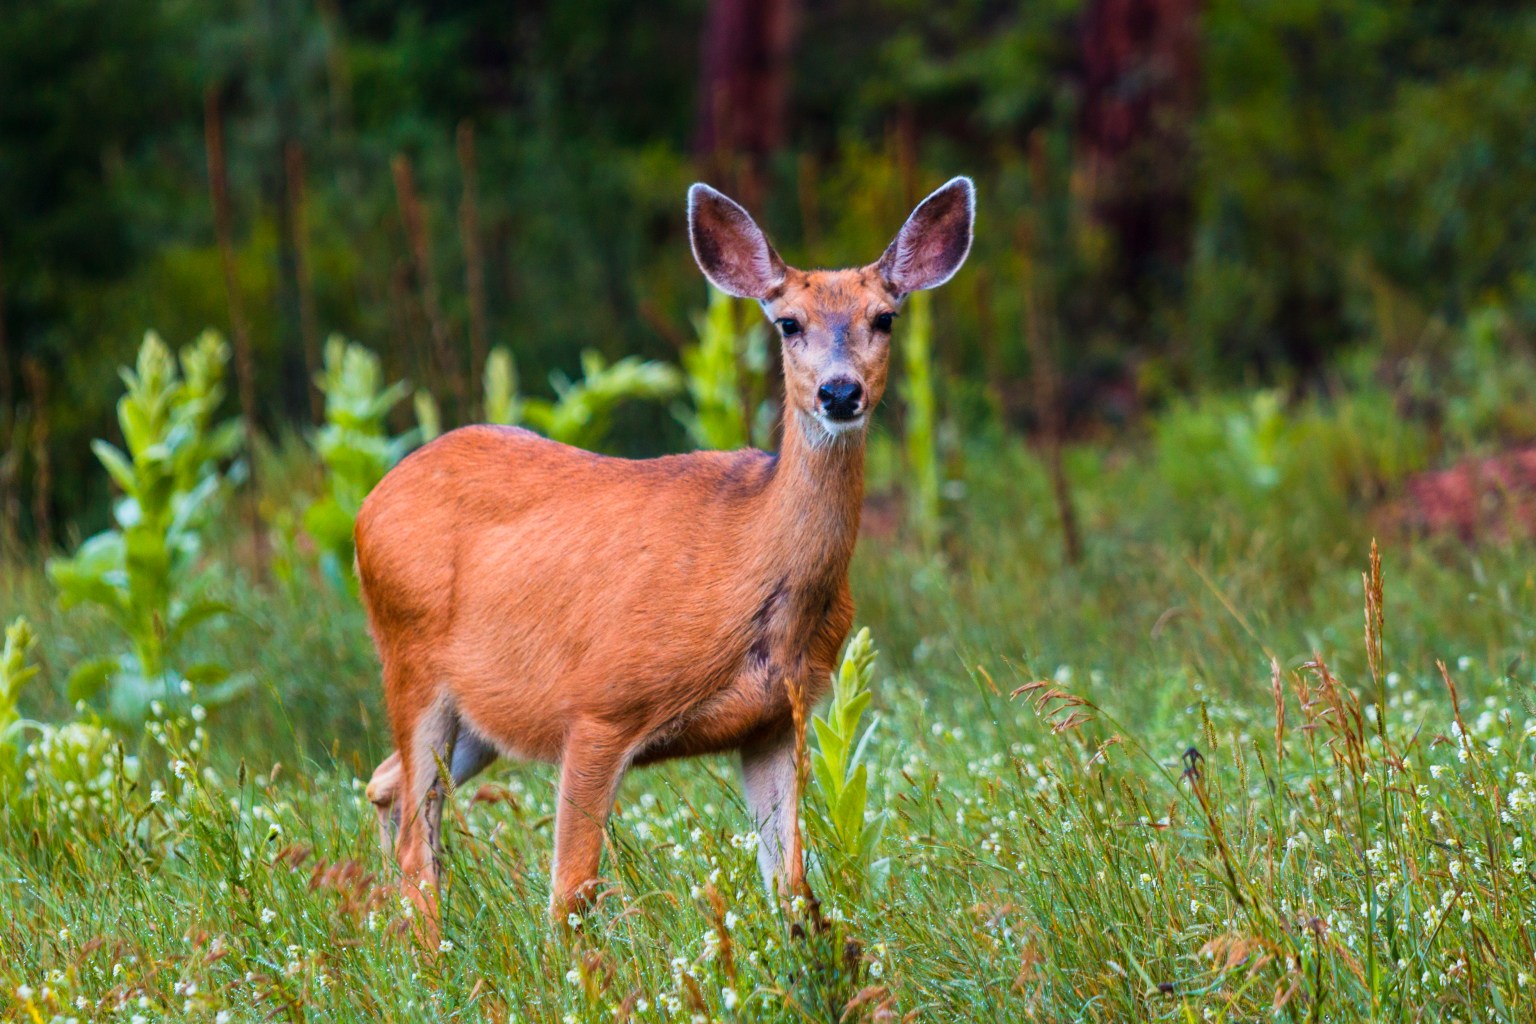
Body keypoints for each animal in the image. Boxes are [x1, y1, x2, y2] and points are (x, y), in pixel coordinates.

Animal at [358, 176, 974, 934]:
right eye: (788, 323)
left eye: (885, 318)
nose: (839, 392)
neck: (752, 566)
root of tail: (370, 502)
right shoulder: (599, 705)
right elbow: (569, 895)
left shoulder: (777, 718)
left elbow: (792, 887)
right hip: (410, 657)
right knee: (418, 841)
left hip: (480, 710)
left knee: (386, 786)